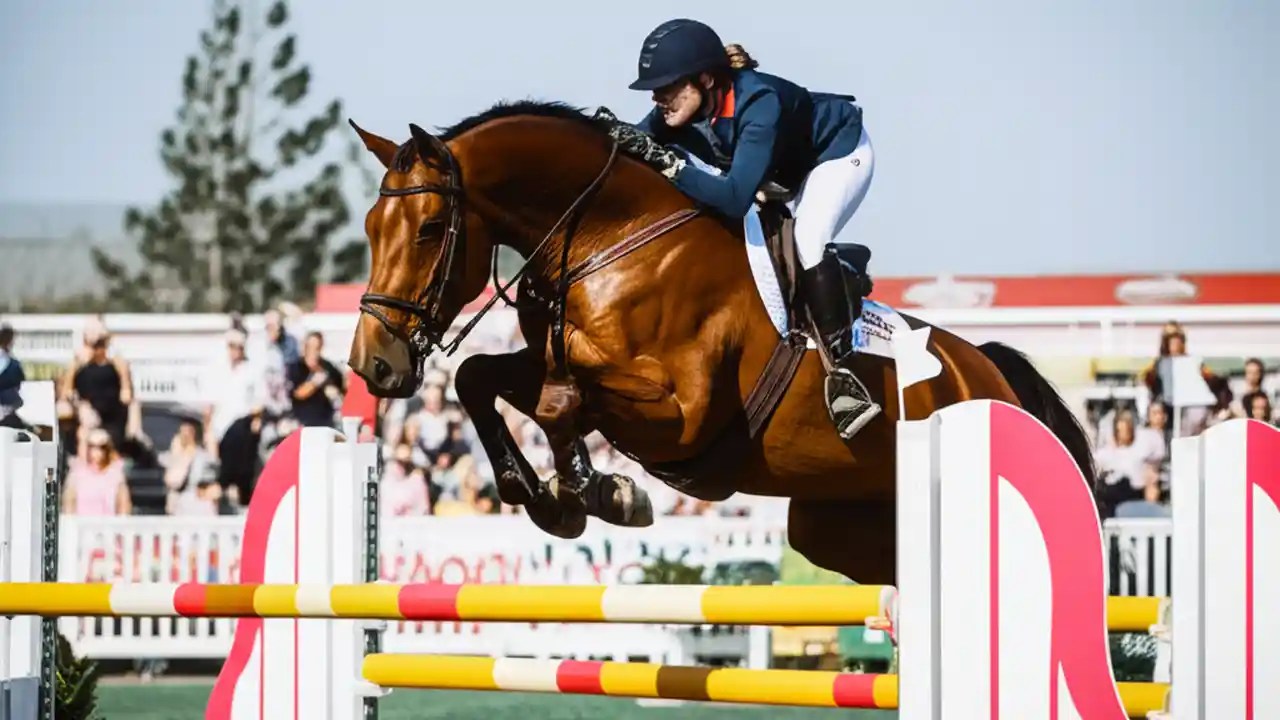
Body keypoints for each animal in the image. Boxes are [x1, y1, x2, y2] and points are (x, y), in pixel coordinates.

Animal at [345, 100, 1095, 585]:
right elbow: (483, 377)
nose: (373, 365)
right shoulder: (555, 363)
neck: (608, 238)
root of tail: (993, 371)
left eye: (429, 229)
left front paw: (599, 490)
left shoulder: (682, 417)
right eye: (371, 228)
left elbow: (561, 401)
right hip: (837, 526)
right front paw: (543, 494)